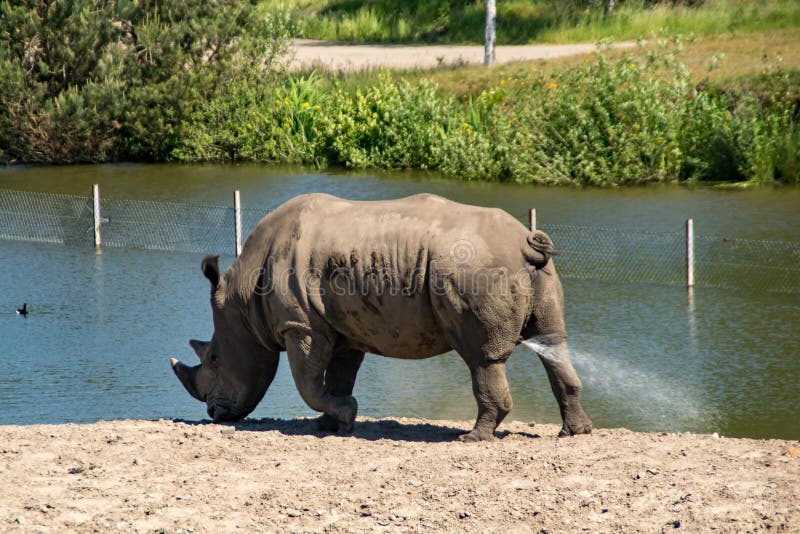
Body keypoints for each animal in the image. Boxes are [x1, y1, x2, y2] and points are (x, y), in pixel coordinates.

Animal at [171, 193, 591, 441]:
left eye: (214, 358)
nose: (214, 413)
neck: (243, 299)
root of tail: (524, 242)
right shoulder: (341, 327)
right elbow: (336, 377)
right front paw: (331, 425)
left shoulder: (301, 325)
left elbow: (308, 383)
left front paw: (343, 416)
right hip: (538, 274)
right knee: (554, 344)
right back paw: (575, 432)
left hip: (477, 268)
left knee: (482, 358)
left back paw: (472, 439)